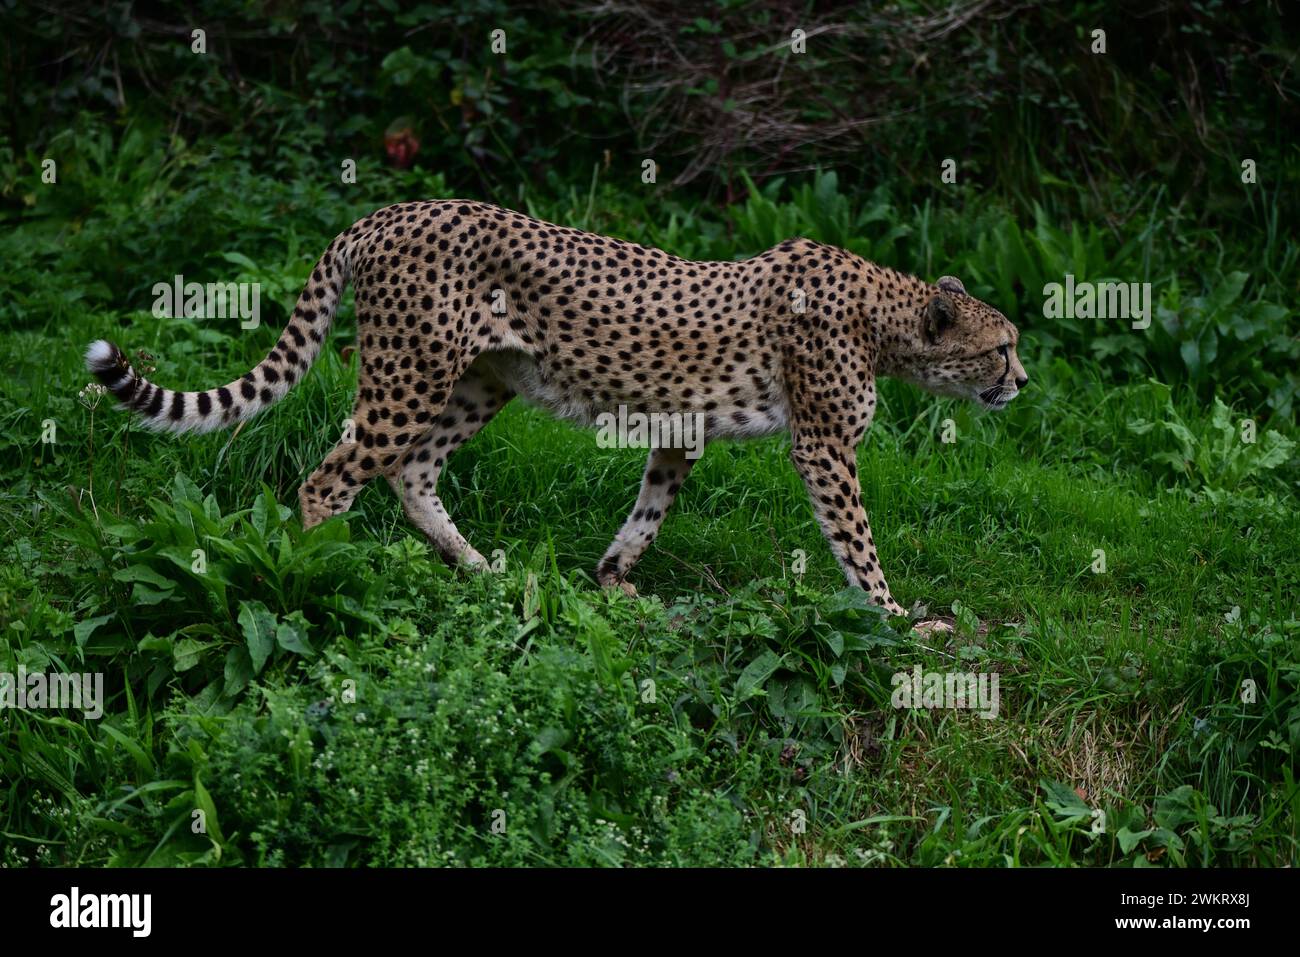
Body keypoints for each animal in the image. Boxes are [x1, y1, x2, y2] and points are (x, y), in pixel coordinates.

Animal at [87, 199, 1028, 629]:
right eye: (1003, 346)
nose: (1021, 382)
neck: (887, 316)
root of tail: (393, 208)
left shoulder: (679, 426)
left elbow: (649, 508)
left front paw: (614, 580)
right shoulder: (827, 446)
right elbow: (857, 543)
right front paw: (900, 619)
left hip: (481, 380)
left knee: (412, 471)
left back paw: (479, 568)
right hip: (411, 375)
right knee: (332, 475)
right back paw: (320, 573)